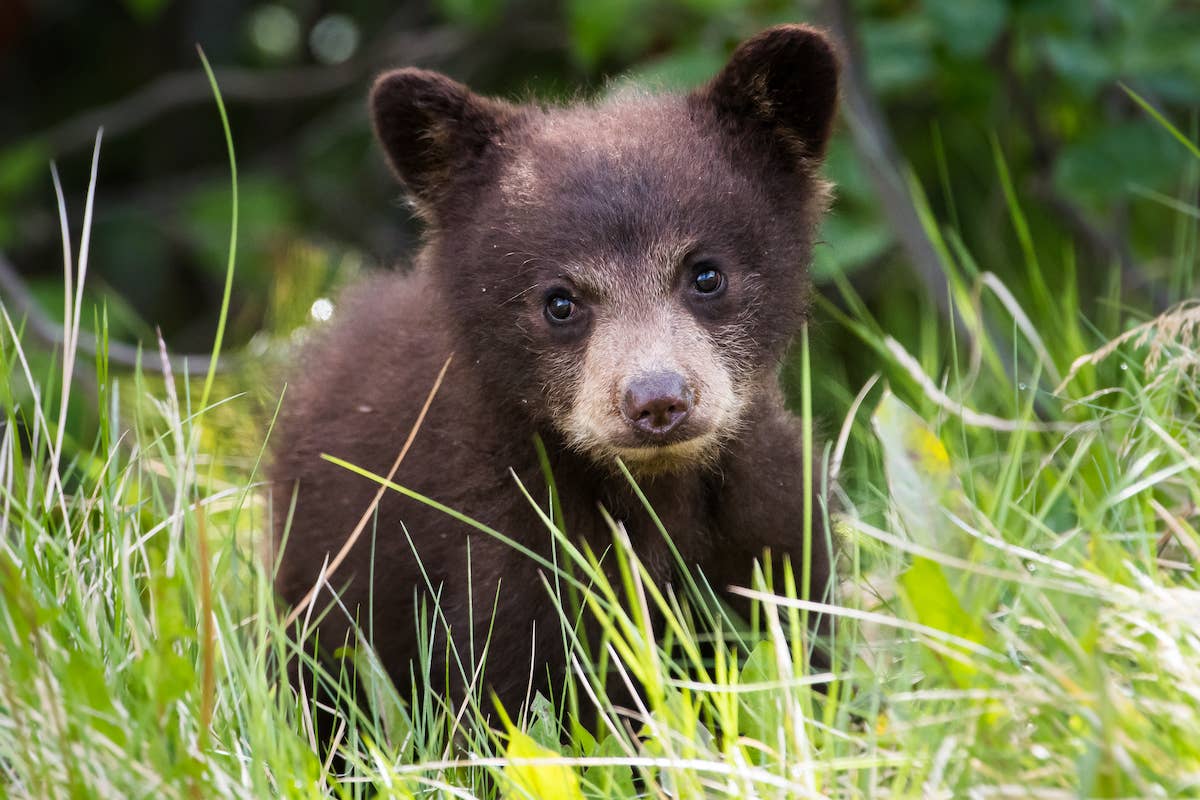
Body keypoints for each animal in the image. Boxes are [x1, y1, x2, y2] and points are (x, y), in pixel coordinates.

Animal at [270, 23, 840, 733]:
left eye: (706, 274)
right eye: (560, 302)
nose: (657, 401)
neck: (657, 491)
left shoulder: (775, 525)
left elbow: (801, 639)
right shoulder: (505, 542)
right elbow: (518, 696)